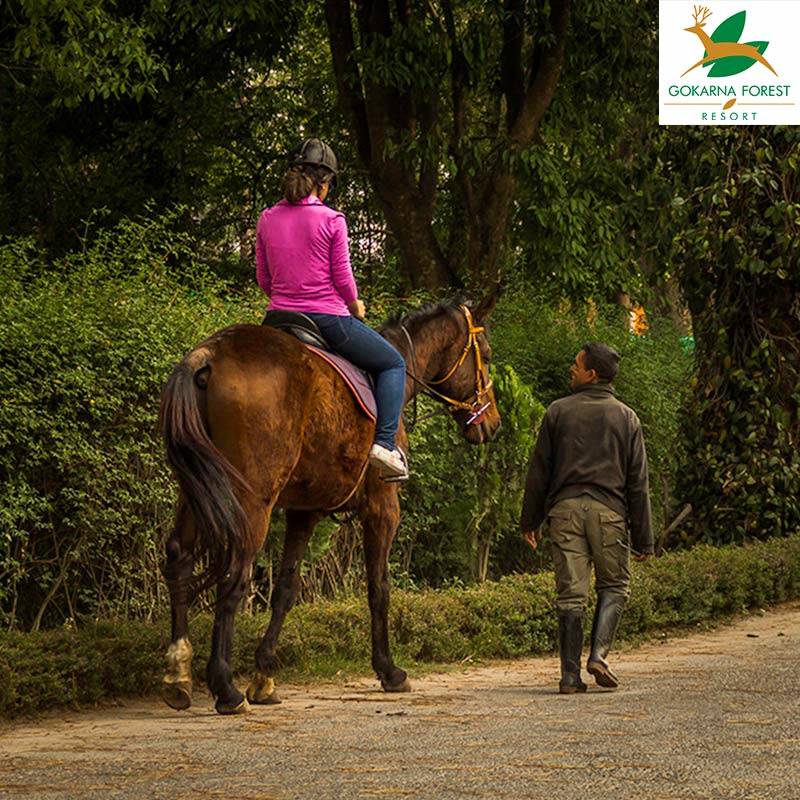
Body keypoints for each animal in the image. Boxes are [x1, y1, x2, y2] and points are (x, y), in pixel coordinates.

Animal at [159, 286, 503, 715]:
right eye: (486, 354)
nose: (493, 424)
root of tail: (209, 354)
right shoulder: (383, 508)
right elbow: (379, 588)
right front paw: (389, 670)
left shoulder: (304, 512)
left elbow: (286, 590)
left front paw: (264, 676)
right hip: (252, 501)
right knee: (233, 577)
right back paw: (225, 687)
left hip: (196, 490)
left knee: (180, 560)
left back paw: (178, 673)